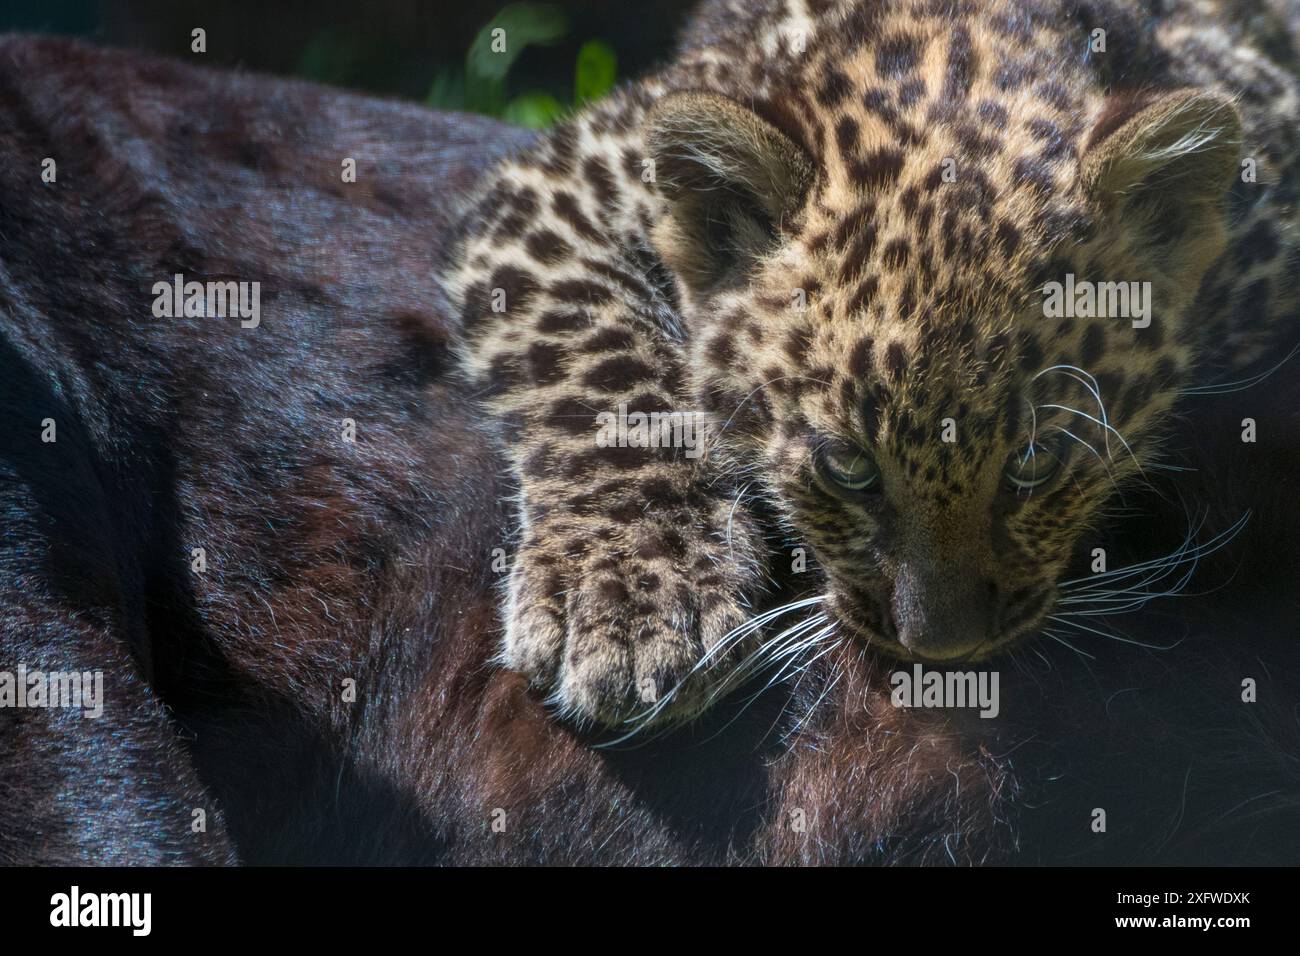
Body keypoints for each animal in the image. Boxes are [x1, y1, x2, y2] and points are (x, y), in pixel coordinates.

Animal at [443, 0, 1300, 728]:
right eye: (847, 467)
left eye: (1036, 462)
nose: (945, 649)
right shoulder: (564, 184)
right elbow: (595, 369)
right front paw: (633, 603)